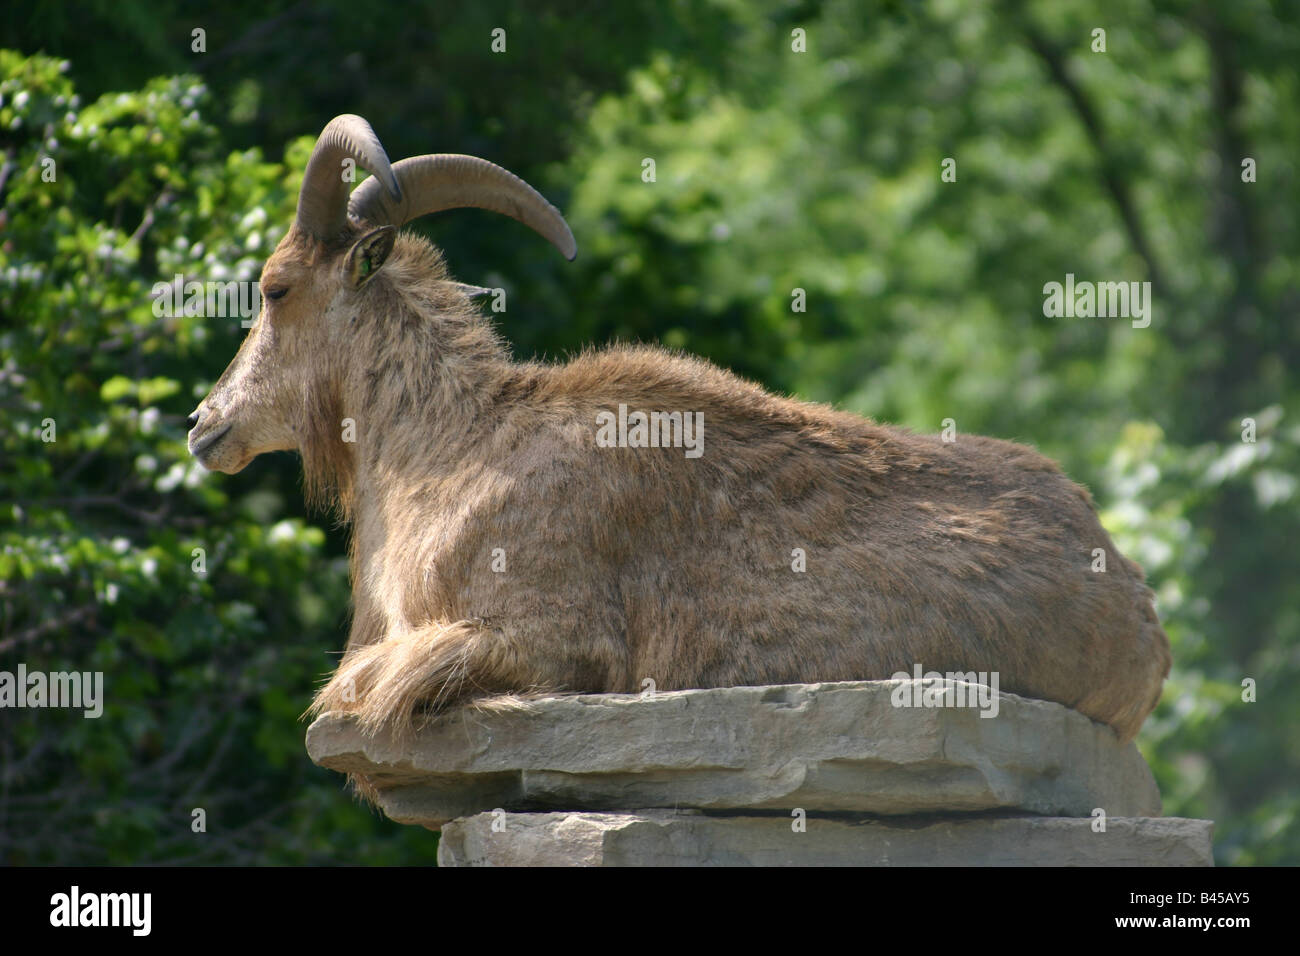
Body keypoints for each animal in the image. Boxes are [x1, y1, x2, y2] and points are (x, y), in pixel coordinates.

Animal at [187, 114, 1171, 757]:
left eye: (274, 287)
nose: (204, 424)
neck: (451, 457)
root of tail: (1135, 597)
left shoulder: (545, 640)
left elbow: (362, 687)